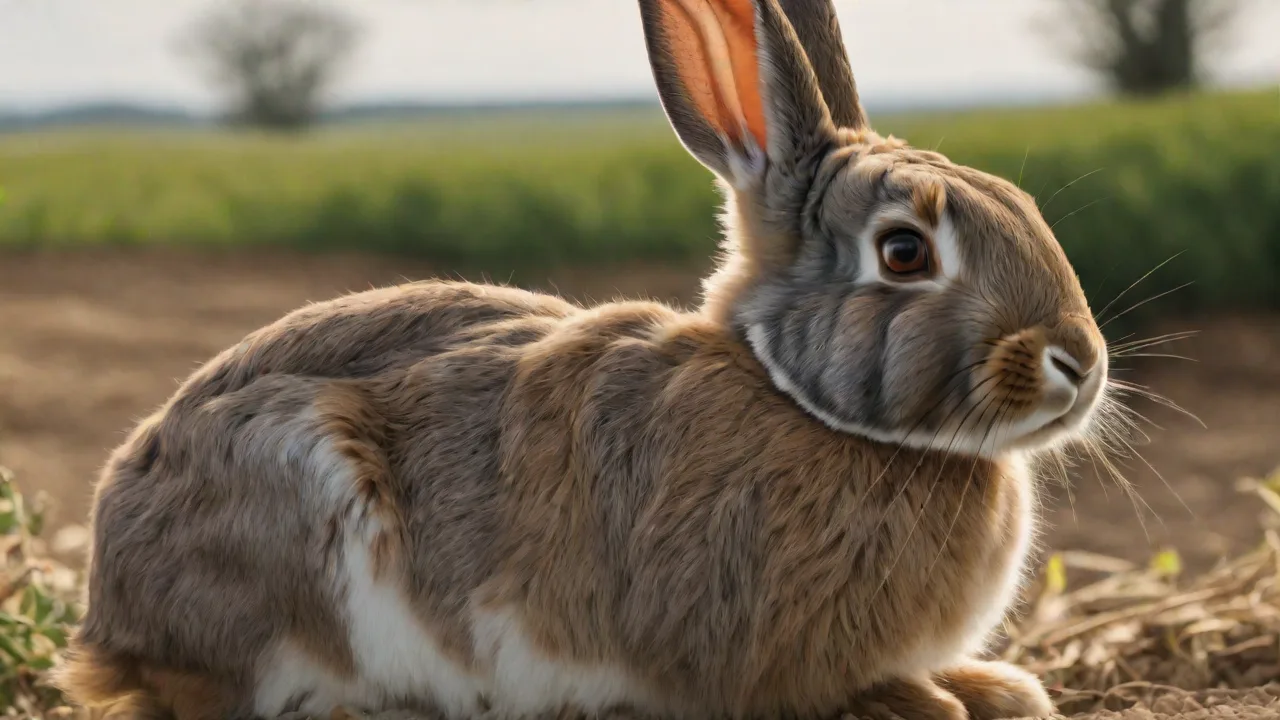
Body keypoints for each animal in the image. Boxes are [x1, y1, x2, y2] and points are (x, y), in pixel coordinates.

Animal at [54, 0, 1109, 719]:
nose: (1082, 364)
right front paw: (932, 700)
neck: (792, 397)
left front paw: (1001, 688)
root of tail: (110, 615)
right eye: (904, 253)